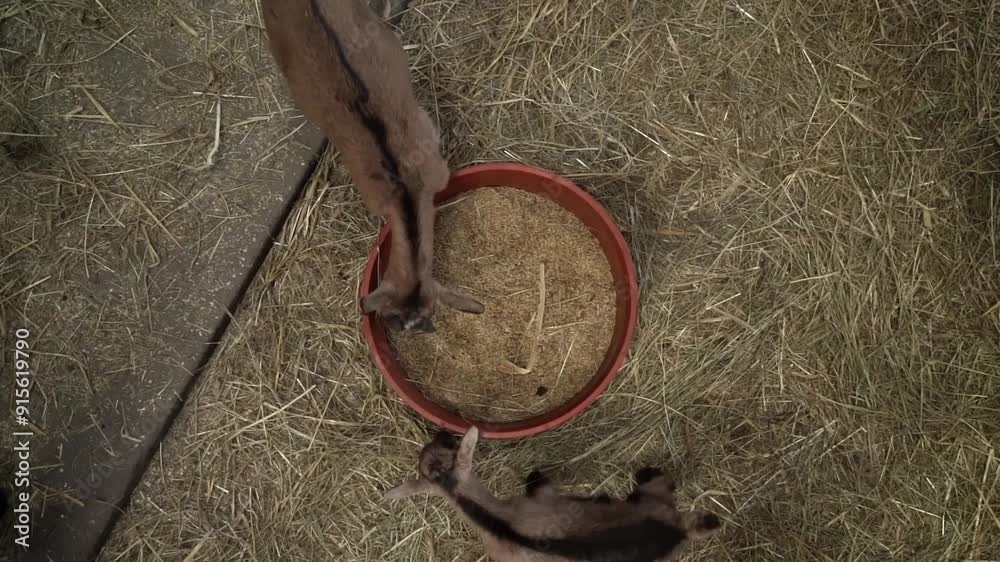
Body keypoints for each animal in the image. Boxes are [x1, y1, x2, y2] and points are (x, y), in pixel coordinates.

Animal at [386, 427, 723, 562]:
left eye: (450, 446)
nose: (443, 433)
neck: (495, 522)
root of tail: (675, 531)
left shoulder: (536, 497)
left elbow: (538, 482)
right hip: (653, 505)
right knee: (660, 487)